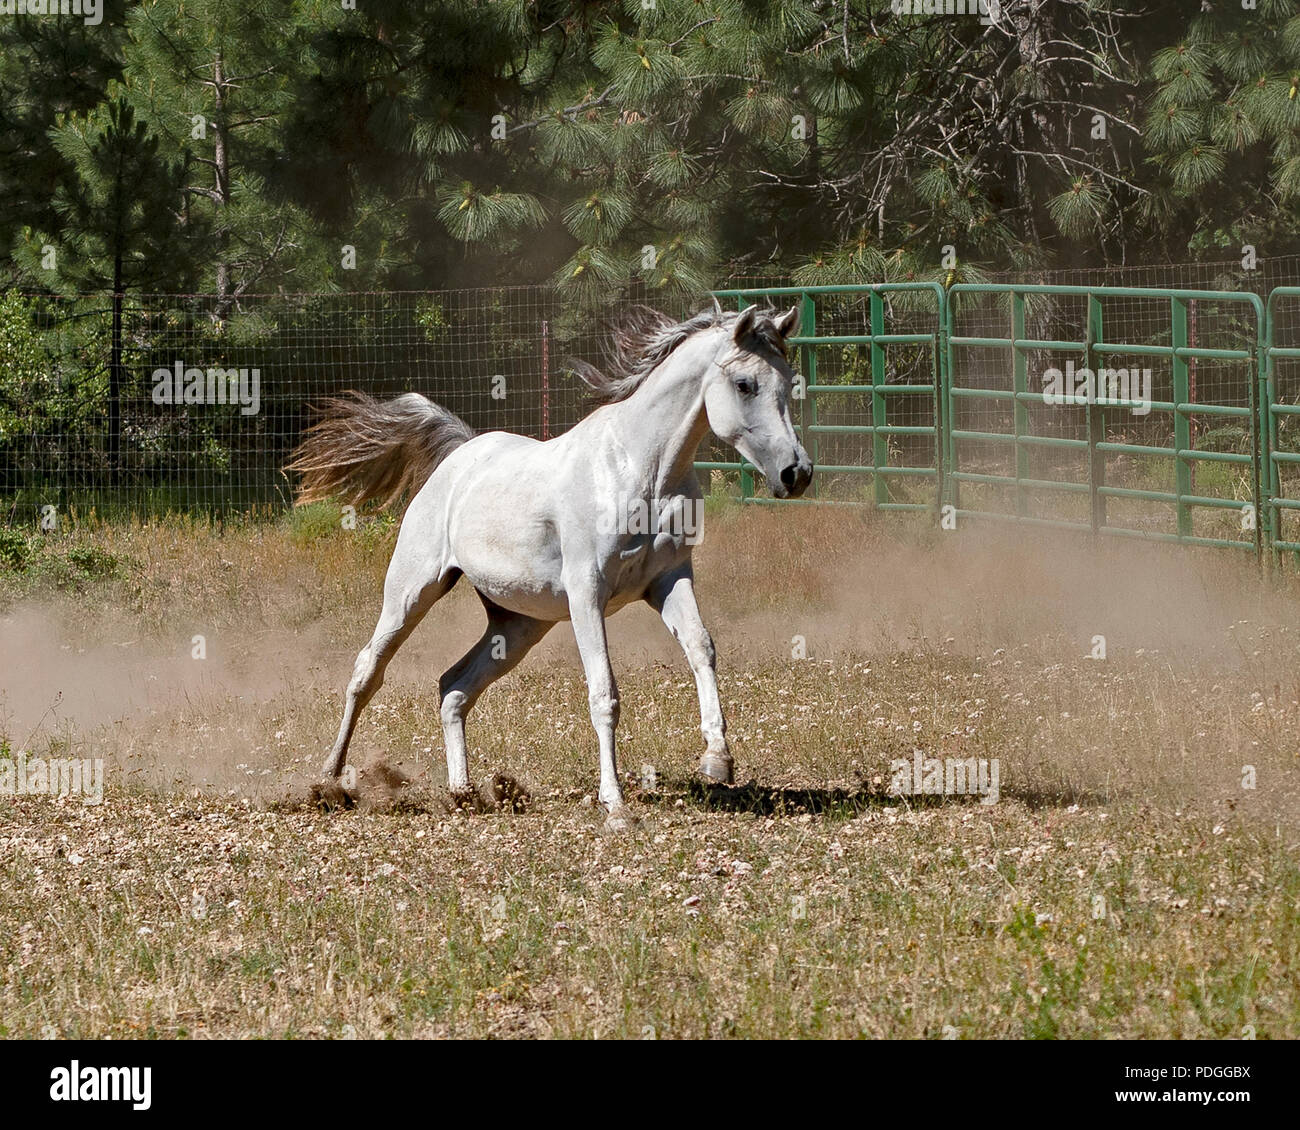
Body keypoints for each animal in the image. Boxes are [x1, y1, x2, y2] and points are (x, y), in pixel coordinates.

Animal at [288, 303, 813, 829]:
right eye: (745, 384)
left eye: (788, 381)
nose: (797, 473)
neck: (640, 471)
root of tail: (460, 454)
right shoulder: (587, 594)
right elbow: (604, 693)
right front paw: (615, 806)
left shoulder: (669, 580)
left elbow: (702, 649)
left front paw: (717, 761)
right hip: (411, 593)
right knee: (367, 673)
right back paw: (328, 782)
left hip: (518, 626)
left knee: (453, 687)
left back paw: (464, 794)